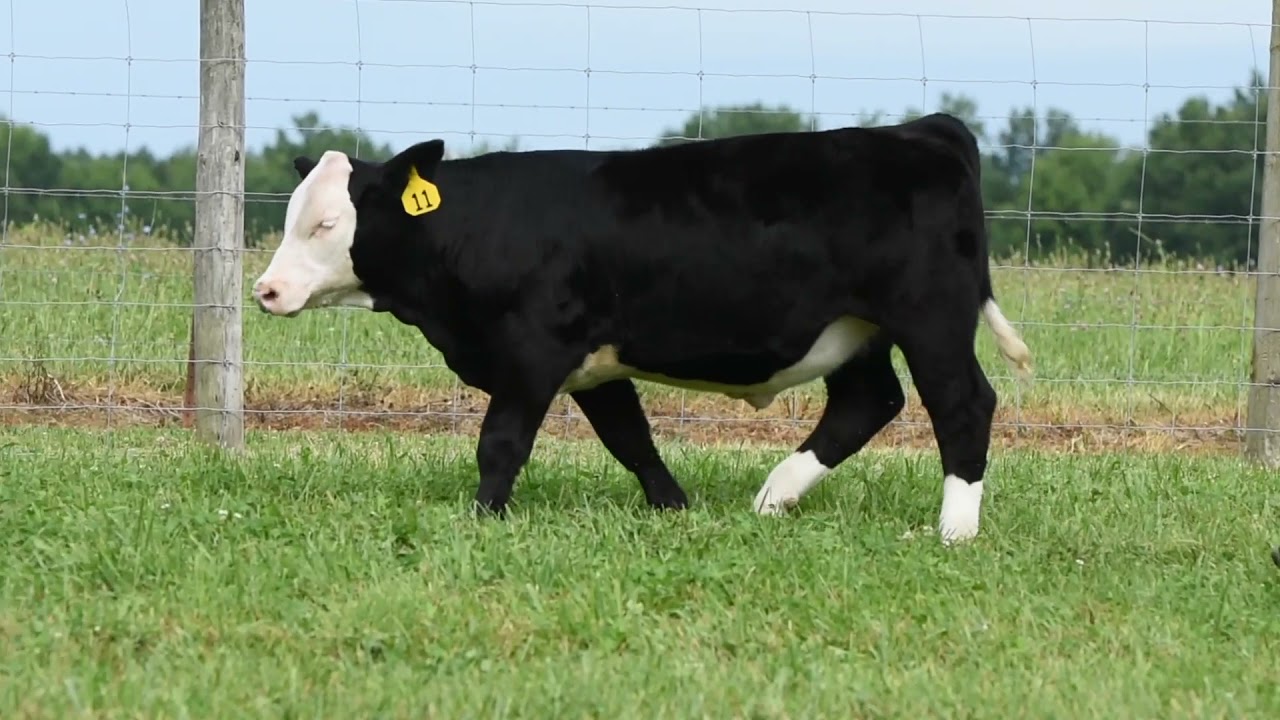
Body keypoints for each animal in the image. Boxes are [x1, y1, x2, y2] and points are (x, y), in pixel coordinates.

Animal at [251, 112, 1032, 544]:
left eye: (326, 223)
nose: (267, 290)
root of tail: (922, 129)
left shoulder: (534, 351)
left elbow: (500, 443)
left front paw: (482, 517)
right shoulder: (592, 363)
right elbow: (630, 439)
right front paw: (674, 508)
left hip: (929, 318)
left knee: (962, 403)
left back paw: (955, 530)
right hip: (855, 330)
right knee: (869, 402)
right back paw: (774, 497)